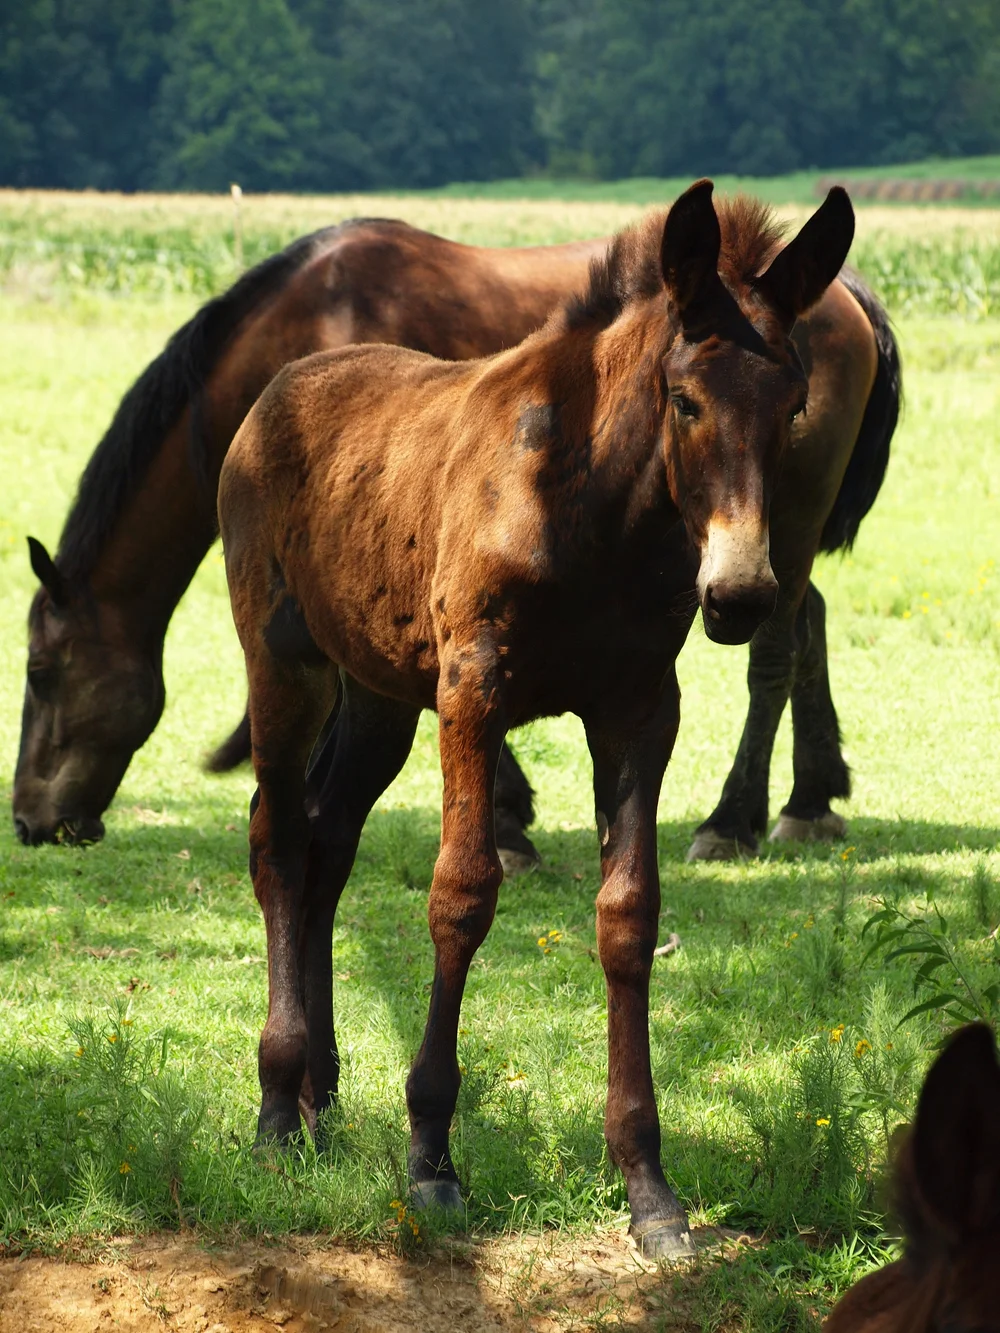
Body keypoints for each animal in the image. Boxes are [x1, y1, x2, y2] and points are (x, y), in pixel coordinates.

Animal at [14, 207, 899, 863]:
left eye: (41, 670)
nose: (29, 818)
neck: (309, 327)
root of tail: (845, 290)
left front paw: (506, 822)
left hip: (776, 526)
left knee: (774, 651)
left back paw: (734, 818)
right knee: (809, 622)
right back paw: (811, 798)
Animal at [217, 180, 856, 1257]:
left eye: (794, 404)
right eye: (684, 398)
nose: (736, 594)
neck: (593, 505)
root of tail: (274, 393)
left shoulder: (638, 704)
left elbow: (629, 914)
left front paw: (649, 1184)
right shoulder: (473, 687)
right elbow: (462, 892)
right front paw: (431, 1154)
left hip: (378, 692)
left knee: (326, 840)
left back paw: (320, 1095)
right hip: (286, 664)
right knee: (276, 839)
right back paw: (275, 1106)